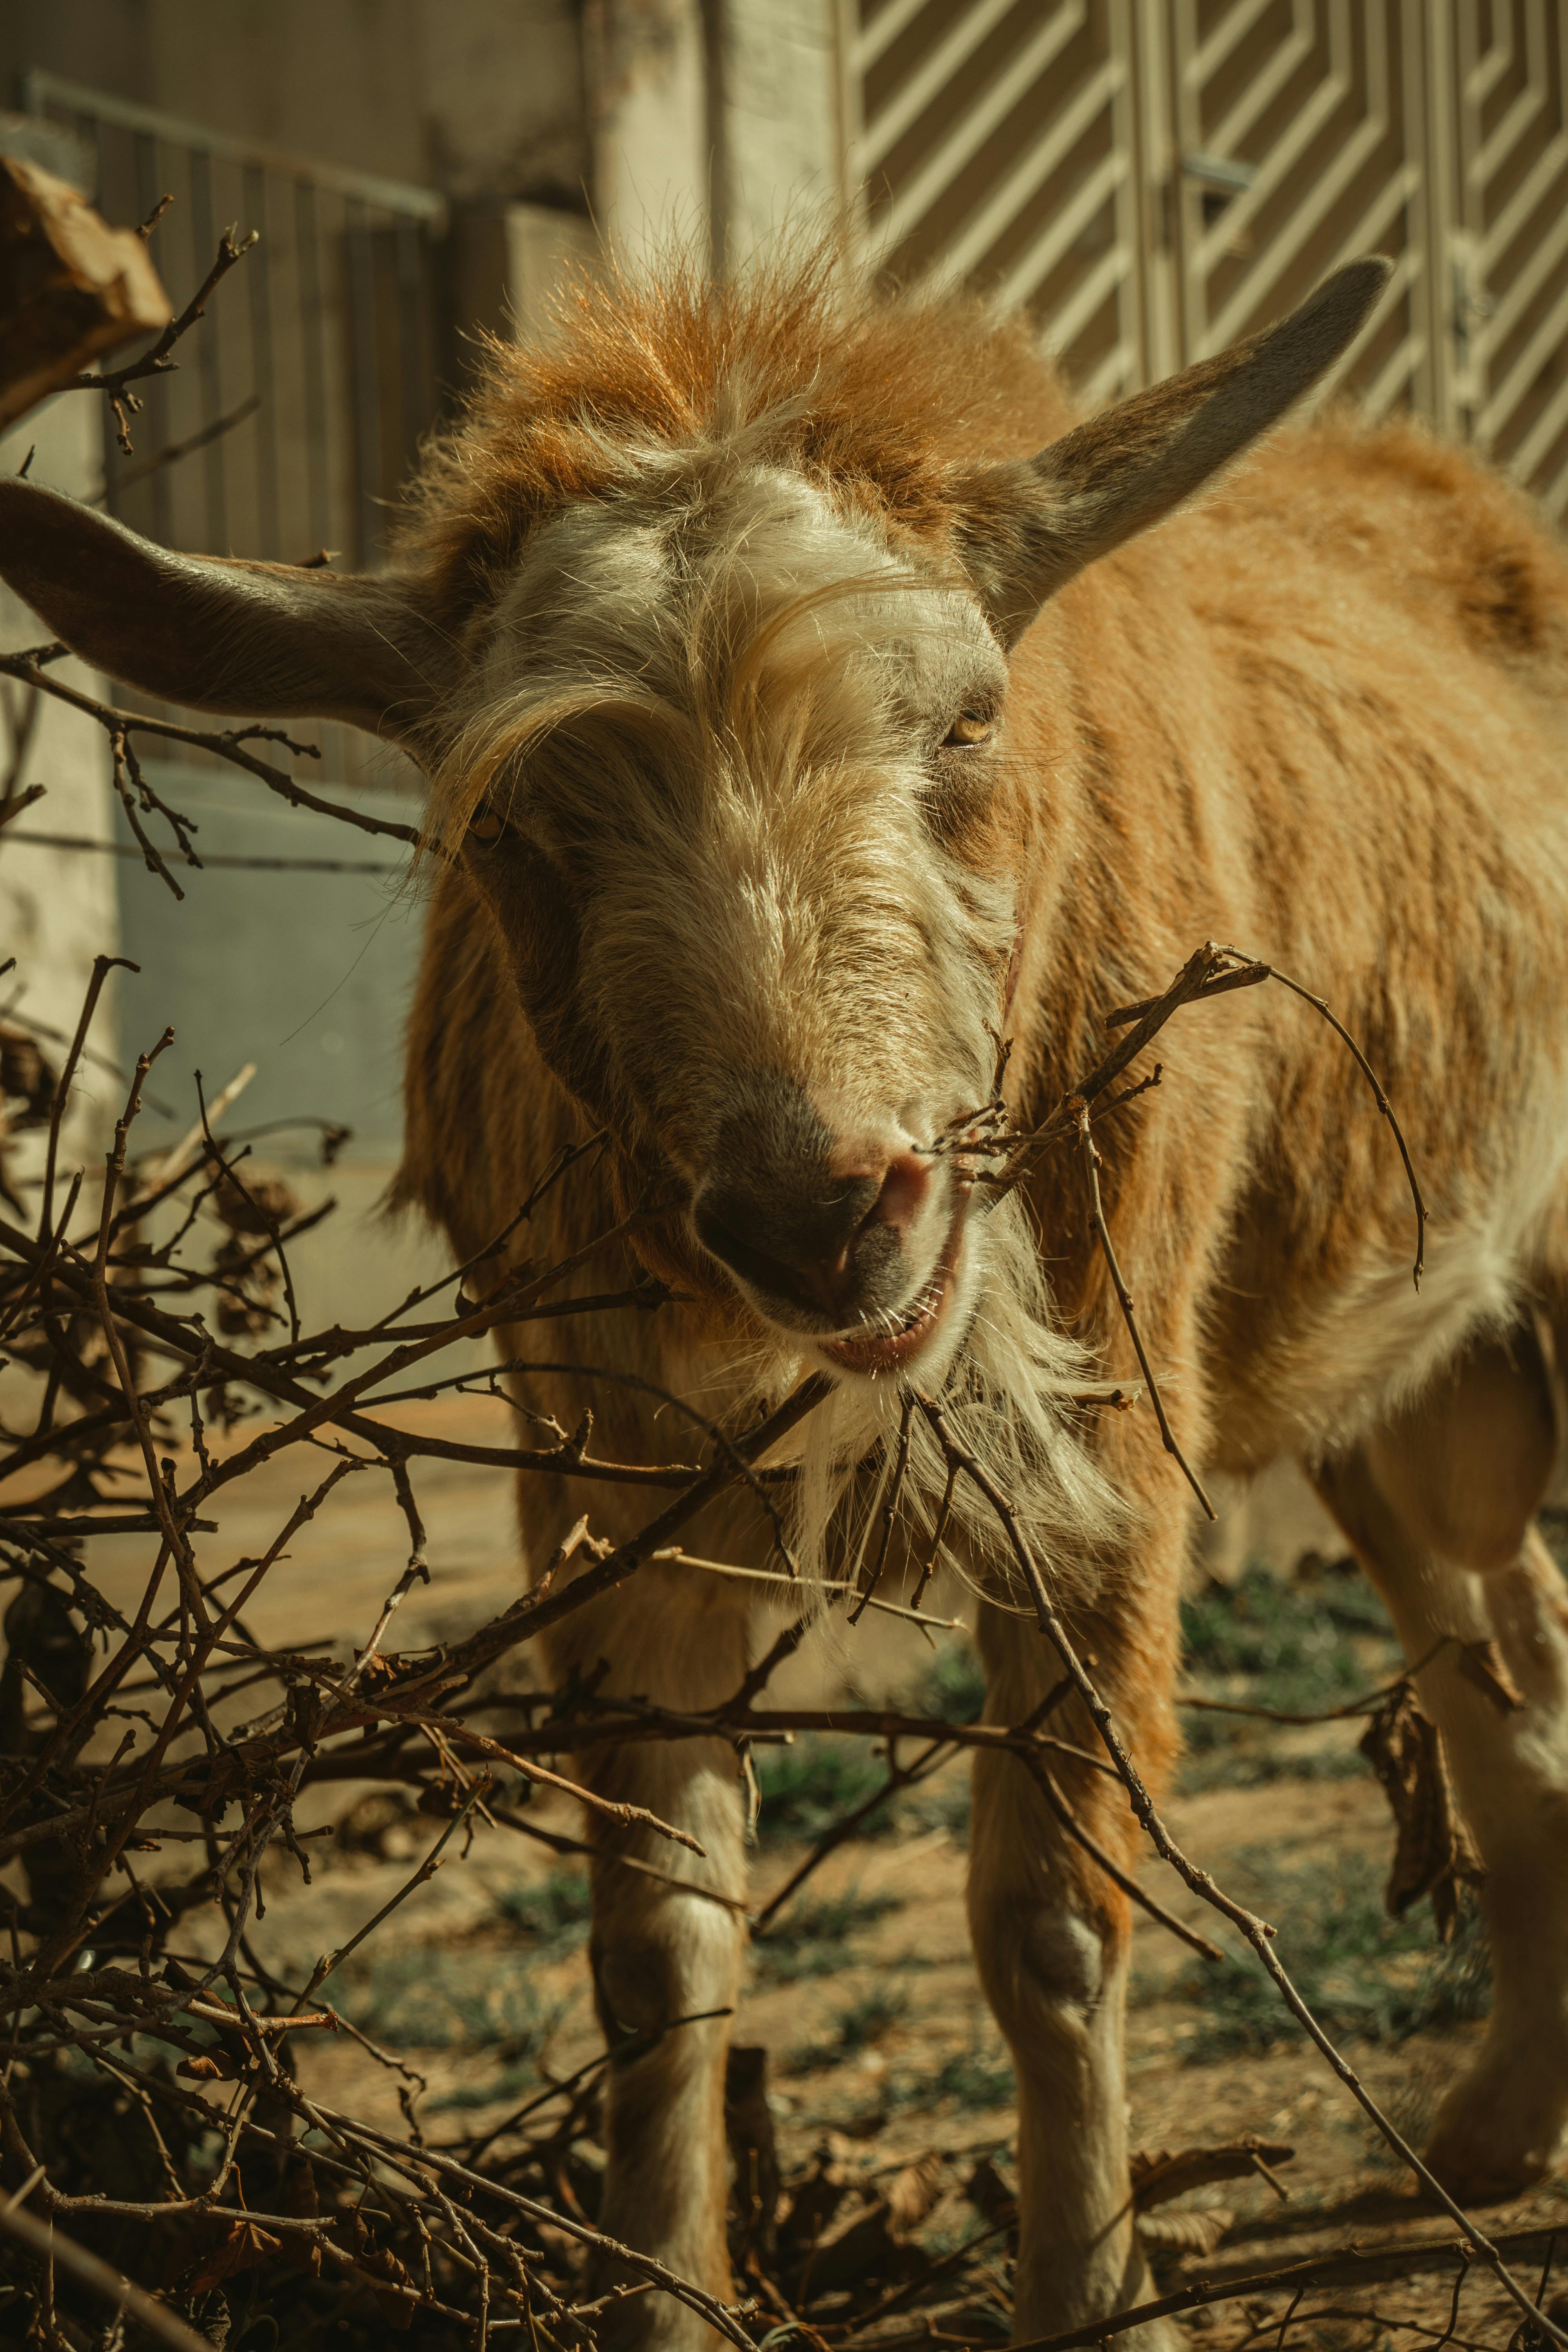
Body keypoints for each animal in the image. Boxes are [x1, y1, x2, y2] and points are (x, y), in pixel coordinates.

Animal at [6, 246, 1568, 2351]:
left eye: (969, 728)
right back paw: (1493, 2121)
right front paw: (662, 2292)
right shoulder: (602, 1470)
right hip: (1382, 1360)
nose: (822, 1211)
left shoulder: (1103, 1438)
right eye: (514, 823)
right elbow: (656, 1949)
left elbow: (1050, 1920)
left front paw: (1092, 2288)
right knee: (1491, 1624)